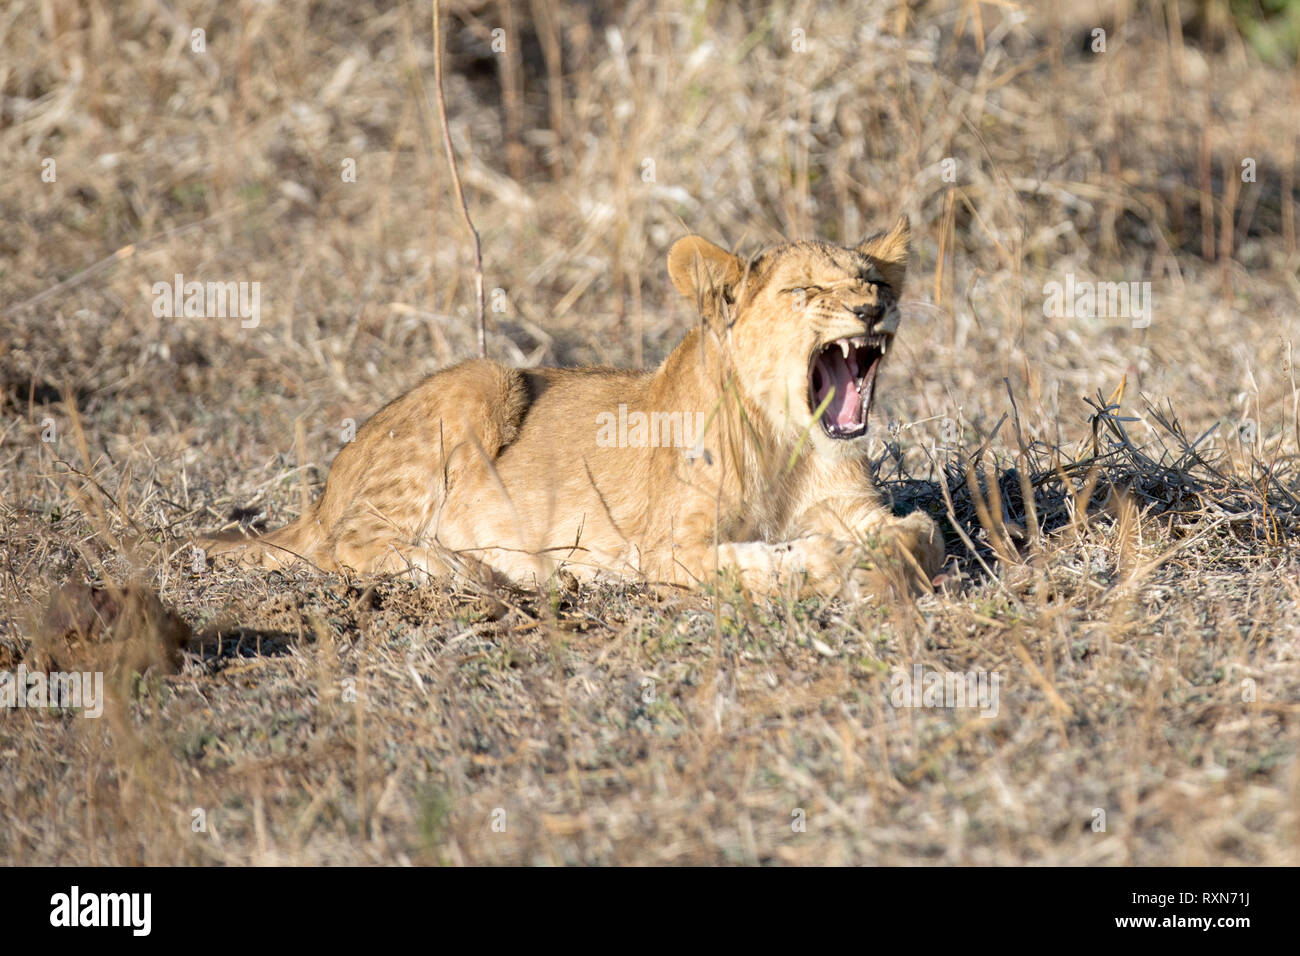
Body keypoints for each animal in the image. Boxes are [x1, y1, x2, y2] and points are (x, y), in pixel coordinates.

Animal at [200, 217, 945, 598]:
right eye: (806, 291)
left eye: (875, 282)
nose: (872, 310)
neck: (785, 438)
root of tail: (322, 494)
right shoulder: (668, 550)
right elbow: (762, 560)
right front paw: (832, 566)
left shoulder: (856, 508)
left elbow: (924, 534)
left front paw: (881, 560)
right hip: (483, 378)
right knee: (343, 544)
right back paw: (473, 568)